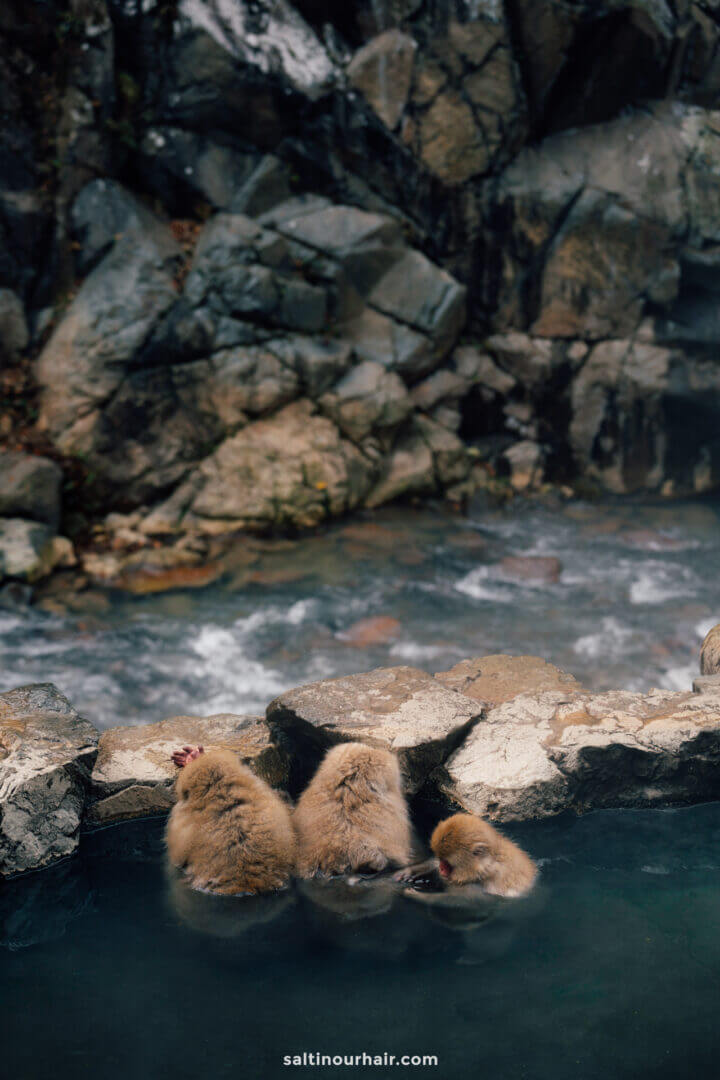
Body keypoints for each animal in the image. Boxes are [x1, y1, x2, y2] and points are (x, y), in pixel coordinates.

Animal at [394, 813, 537, 901]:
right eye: (441, 859)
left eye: (447, 863)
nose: (441, 869)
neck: (488, 865)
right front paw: (408, 872)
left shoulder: (484, 883)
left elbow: (460, 900)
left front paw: (418, 896)